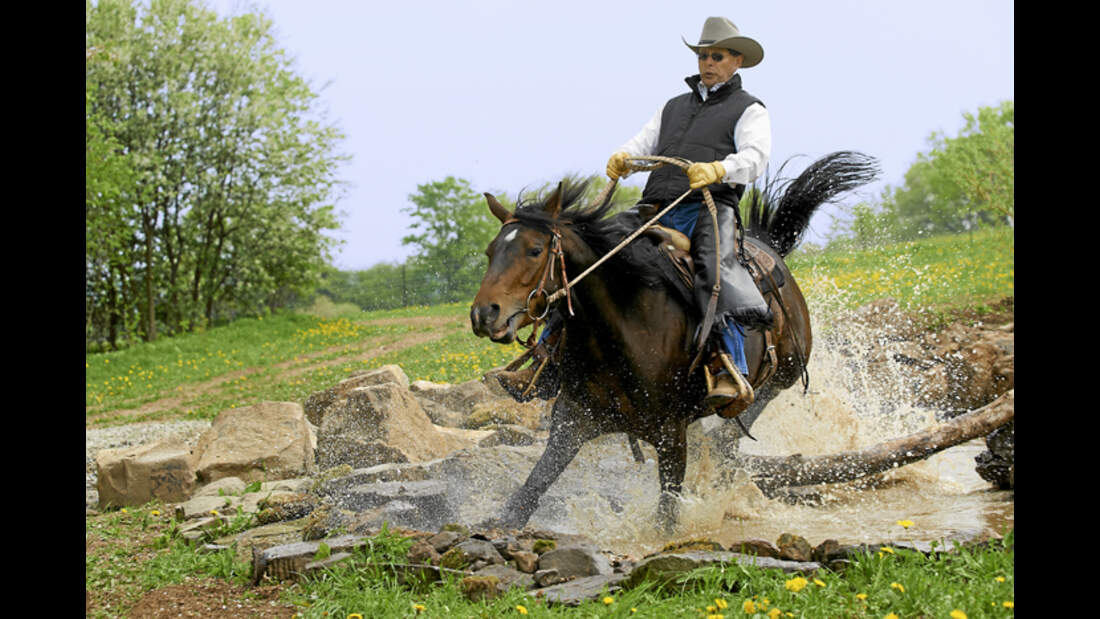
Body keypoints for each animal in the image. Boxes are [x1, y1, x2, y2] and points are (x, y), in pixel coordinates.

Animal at [469, 151, 879, 531]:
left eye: (534, 250)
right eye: (490, 252)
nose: (484, 314)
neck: (621, 331)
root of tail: (768, 246)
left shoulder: (671, 434)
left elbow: (667, 511)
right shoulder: (573, 420)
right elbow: (532, 488)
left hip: (789, 366)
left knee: (759, 399)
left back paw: (726, 434)